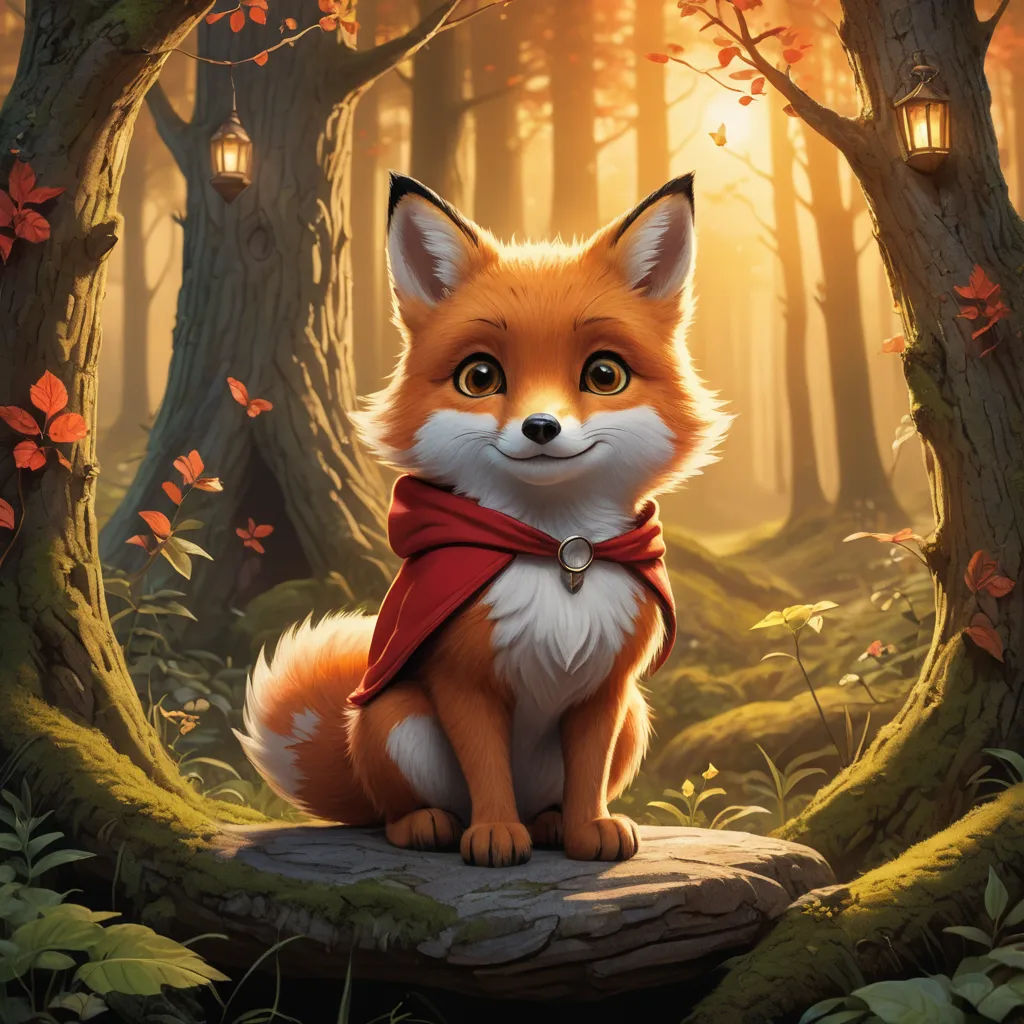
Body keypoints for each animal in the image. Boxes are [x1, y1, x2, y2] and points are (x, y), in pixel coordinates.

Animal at [235, 171, 730, 868]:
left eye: (604, 374)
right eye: (480, 376)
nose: (541, 427)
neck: (557, 550)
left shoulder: (606, 692)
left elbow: (587, 776)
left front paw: (588, 832)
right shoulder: (463, 683)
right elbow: (487, 770)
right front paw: (496, 836)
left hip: (635, 718)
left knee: (552, 796)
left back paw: (550, 823)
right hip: (397, 718)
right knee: (395, 811)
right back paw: (431, 824)